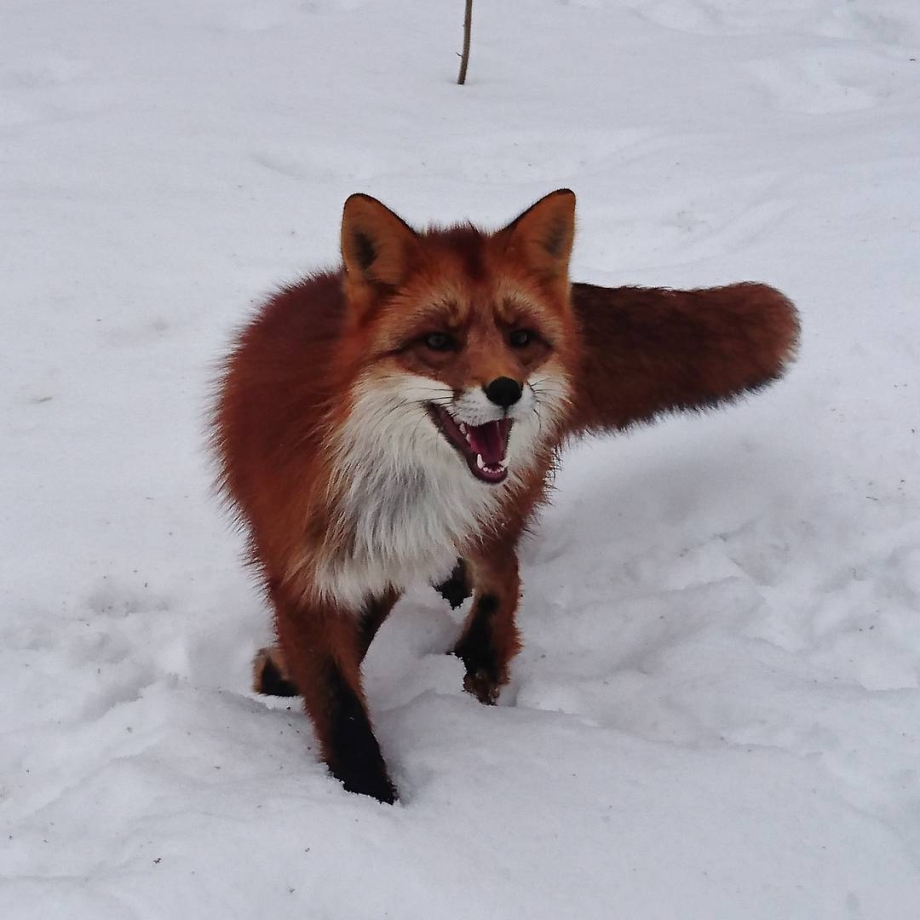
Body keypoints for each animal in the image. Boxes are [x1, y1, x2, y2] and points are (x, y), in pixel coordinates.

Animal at [211, 189, 799, 803]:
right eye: (438, 342)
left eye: (520, 339)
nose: (506, 389)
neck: (402, 481)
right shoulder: (308, 566)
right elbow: (340, 701)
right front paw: (368, 794)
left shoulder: (394, 547)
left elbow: (370, 655)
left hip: (502, 506)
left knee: (504, 577)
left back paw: (479, 654)